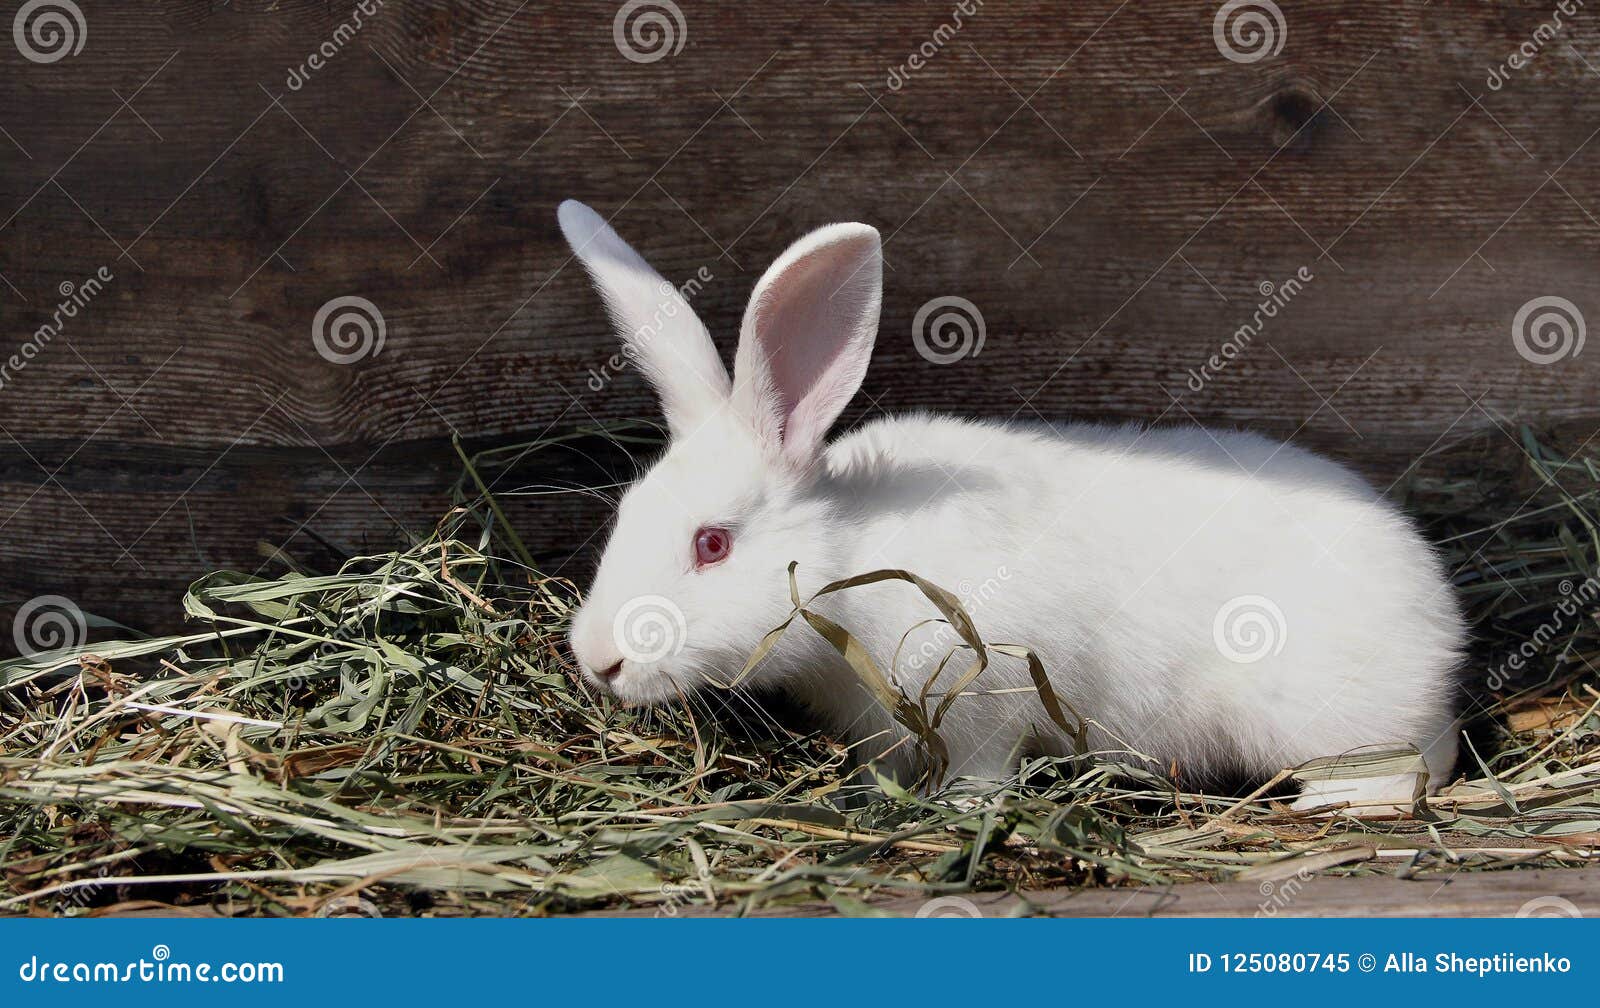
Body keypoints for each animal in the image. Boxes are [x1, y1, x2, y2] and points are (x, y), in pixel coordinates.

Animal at [558, 199, 1467, 813]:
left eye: (711, 543)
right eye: (624, 516)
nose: (598, 659)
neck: (852, 552)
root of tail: (1441, 618)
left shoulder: (986, 699)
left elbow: (983, 767)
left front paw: (962, 808)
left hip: (1336, 717)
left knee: (1409, 763)